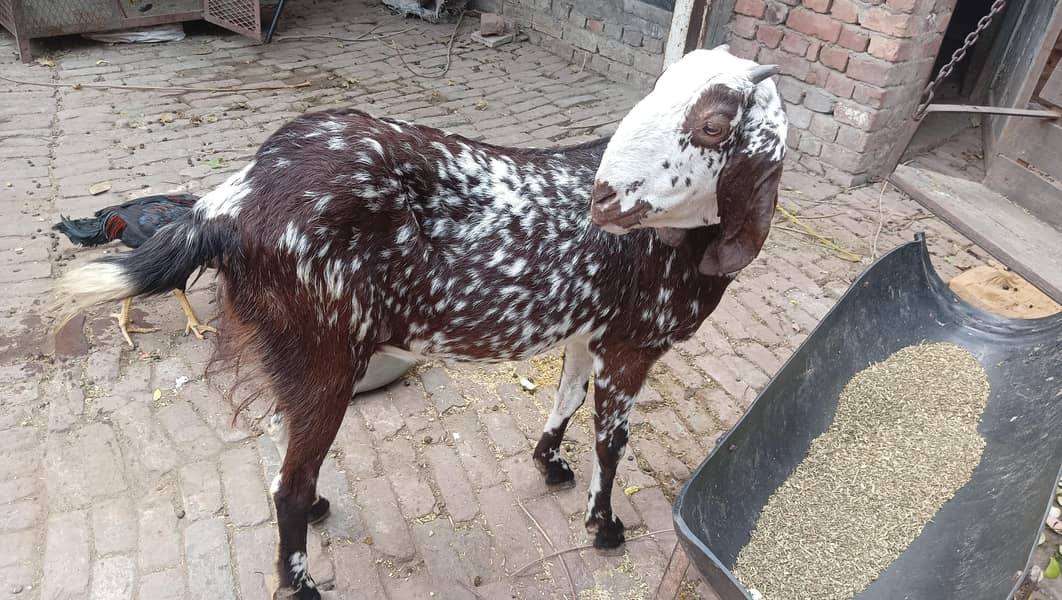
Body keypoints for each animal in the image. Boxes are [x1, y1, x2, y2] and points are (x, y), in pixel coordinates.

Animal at [56, 47, 786, 599]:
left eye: (714, 124)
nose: (602, 198)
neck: (683, 237)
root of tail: (229, 204)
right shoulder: (634, 345)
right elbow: (612, 443)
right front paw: (604, 529)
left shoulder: (591, 332)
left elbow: (567, 399)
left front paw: (549, 464)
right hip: (326, 353)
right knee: (291, 480)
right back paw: (302, 581)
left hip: (296, 353)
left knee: (285, 452)